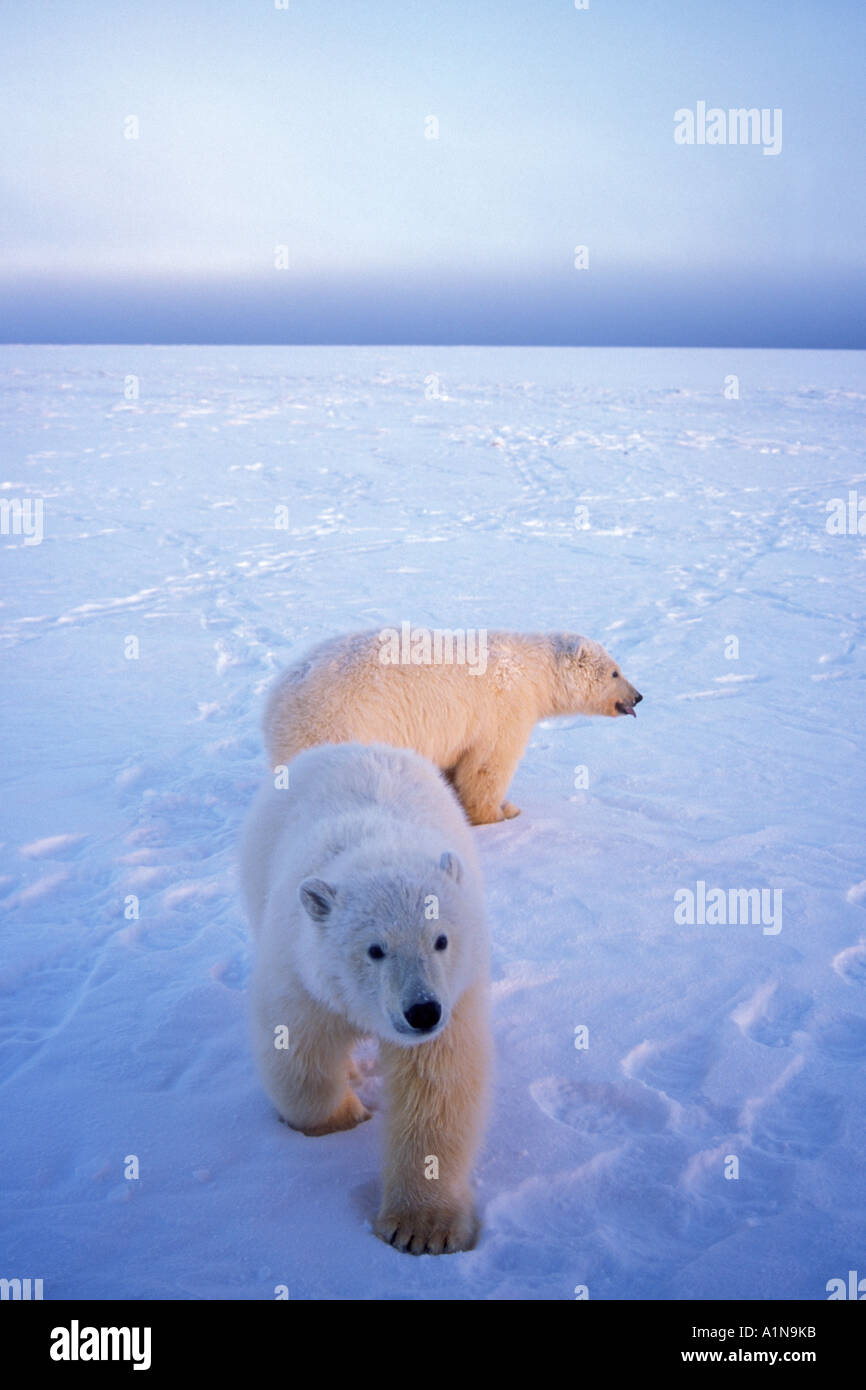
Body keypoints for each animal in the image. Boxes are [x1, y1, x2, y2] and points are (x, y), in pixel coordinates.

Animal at [240, 740, 492, 1255]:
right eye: (376, 949)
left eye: (441, 939)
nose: (422, 1011)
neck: (378, 849)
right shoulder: (303, 970)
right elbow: (297, 1050)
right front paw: (343, 1116)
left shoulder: (456, 997)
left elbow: (437, 1088)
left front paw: (423, 1230)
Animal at [263, 627, 643, 825]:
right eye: (615, 672)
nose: (638, 697)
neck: (531, 670)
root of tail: (279, 698)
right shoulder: (503, 710)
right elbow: (487, 768)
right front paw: (503, 812)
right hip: (338, 723)